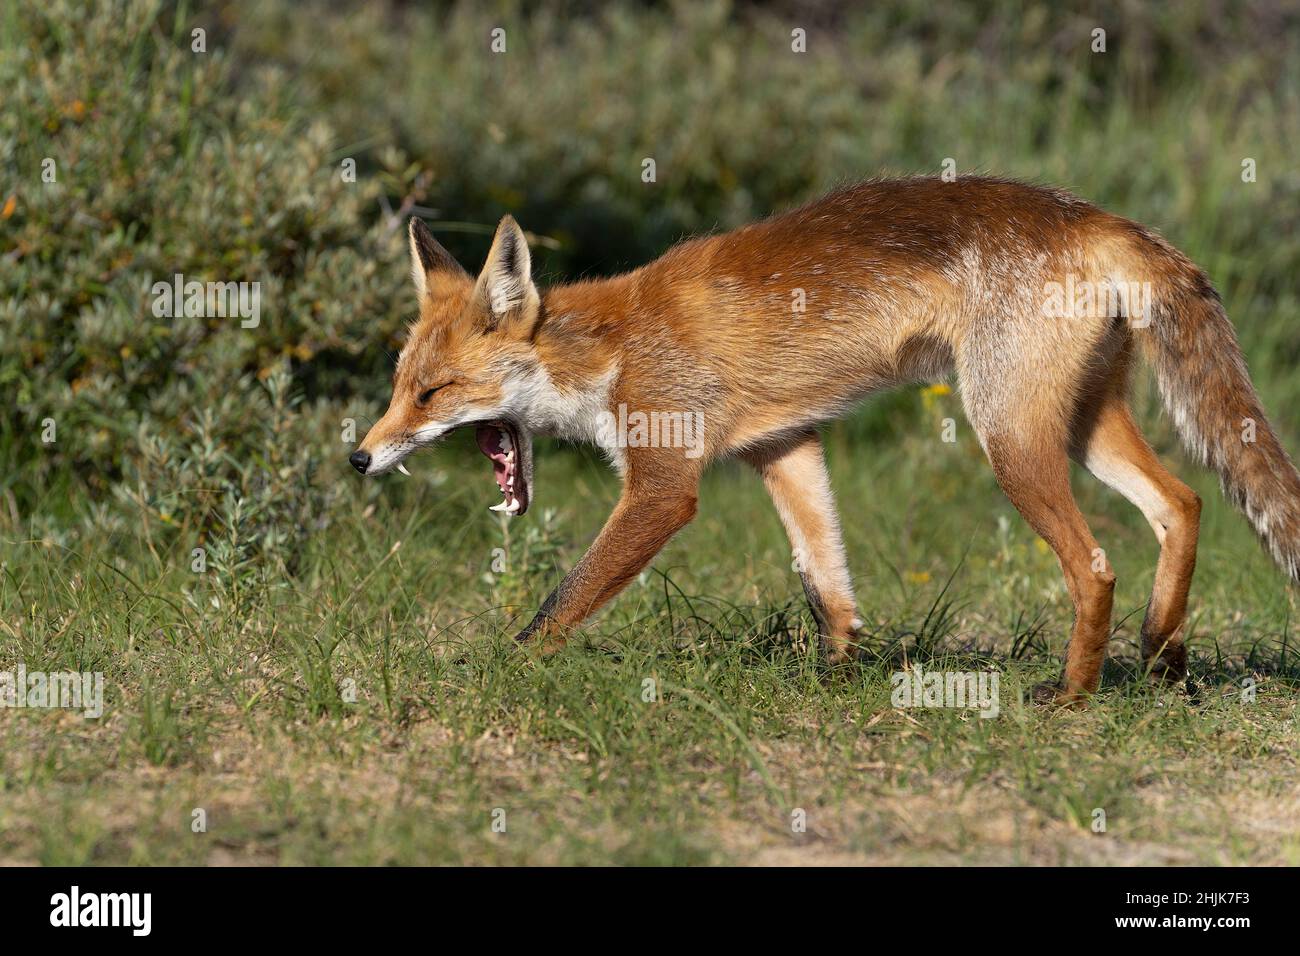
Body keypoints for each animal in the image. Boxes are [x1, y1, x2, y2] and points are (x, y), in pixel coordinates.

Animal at [351, 176, 1300, 705]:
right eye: (399, 387)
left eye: (433, 393)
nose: (359, 456)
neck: (610, 350)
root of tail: (1103, 219)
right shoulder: (785, 448)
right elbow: (826, 581)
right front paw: (839, 677)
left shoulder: (663, 485)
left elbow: (563, 600)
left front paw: (500, 671)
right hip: (1079, 426)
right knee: (1182, 503)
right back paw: (1164, 659)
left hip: (1011, 438)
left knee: (1096, 564)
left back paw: (1074, 695)